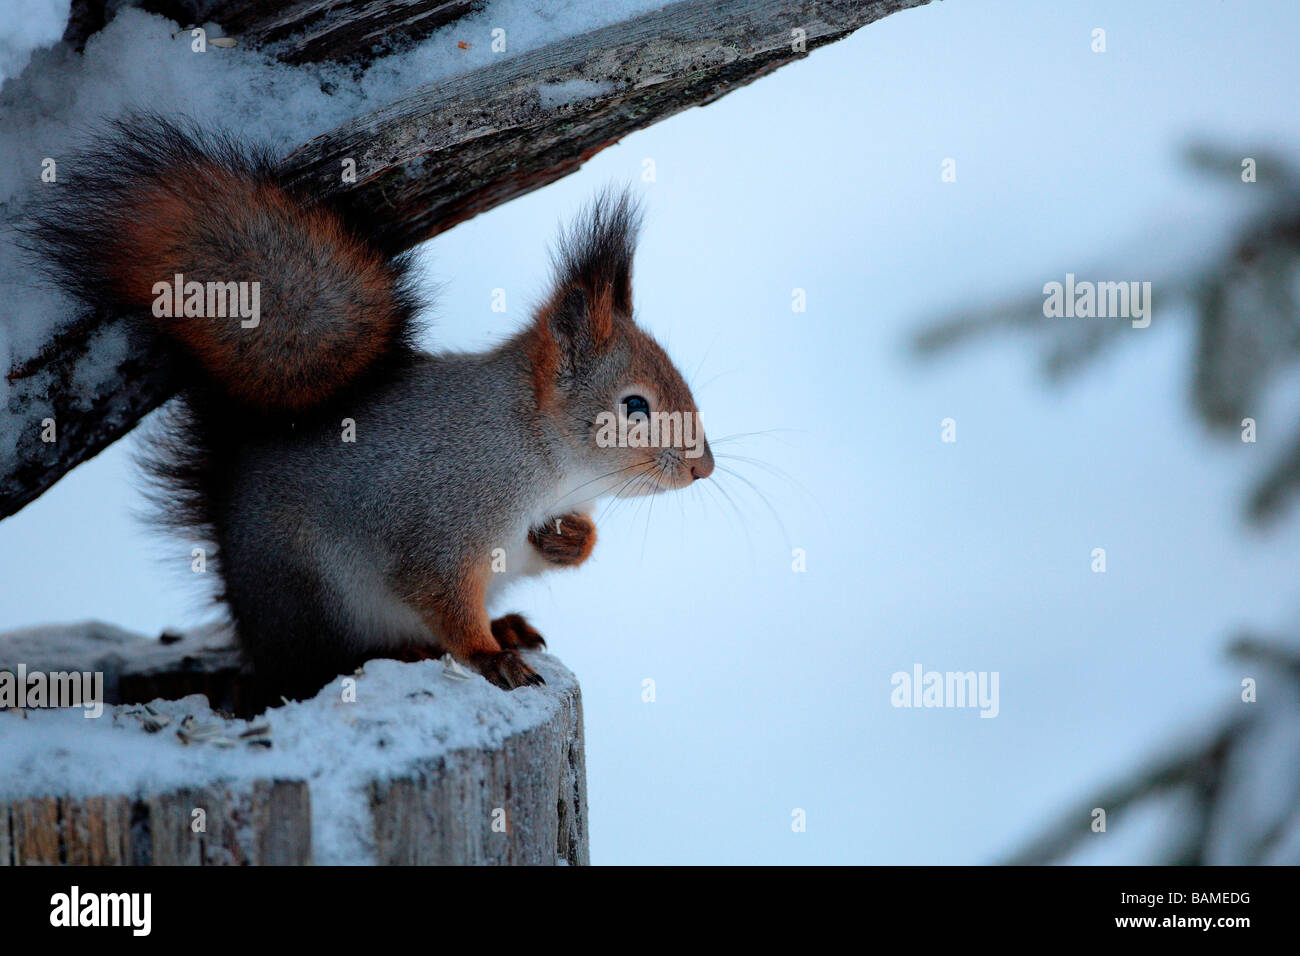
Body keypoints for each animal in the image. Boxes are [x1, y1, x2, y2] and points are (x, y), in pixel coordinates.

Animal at [25, 115, 714, 702]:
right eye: (634, 405)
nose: (702, 468)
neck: (539, 450)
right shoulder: (442, 526)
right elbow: (441, 596)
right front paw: (490, 658)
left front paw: (570, 539)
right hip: (316, 594)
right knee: (324, 664)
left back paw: (509, 623)